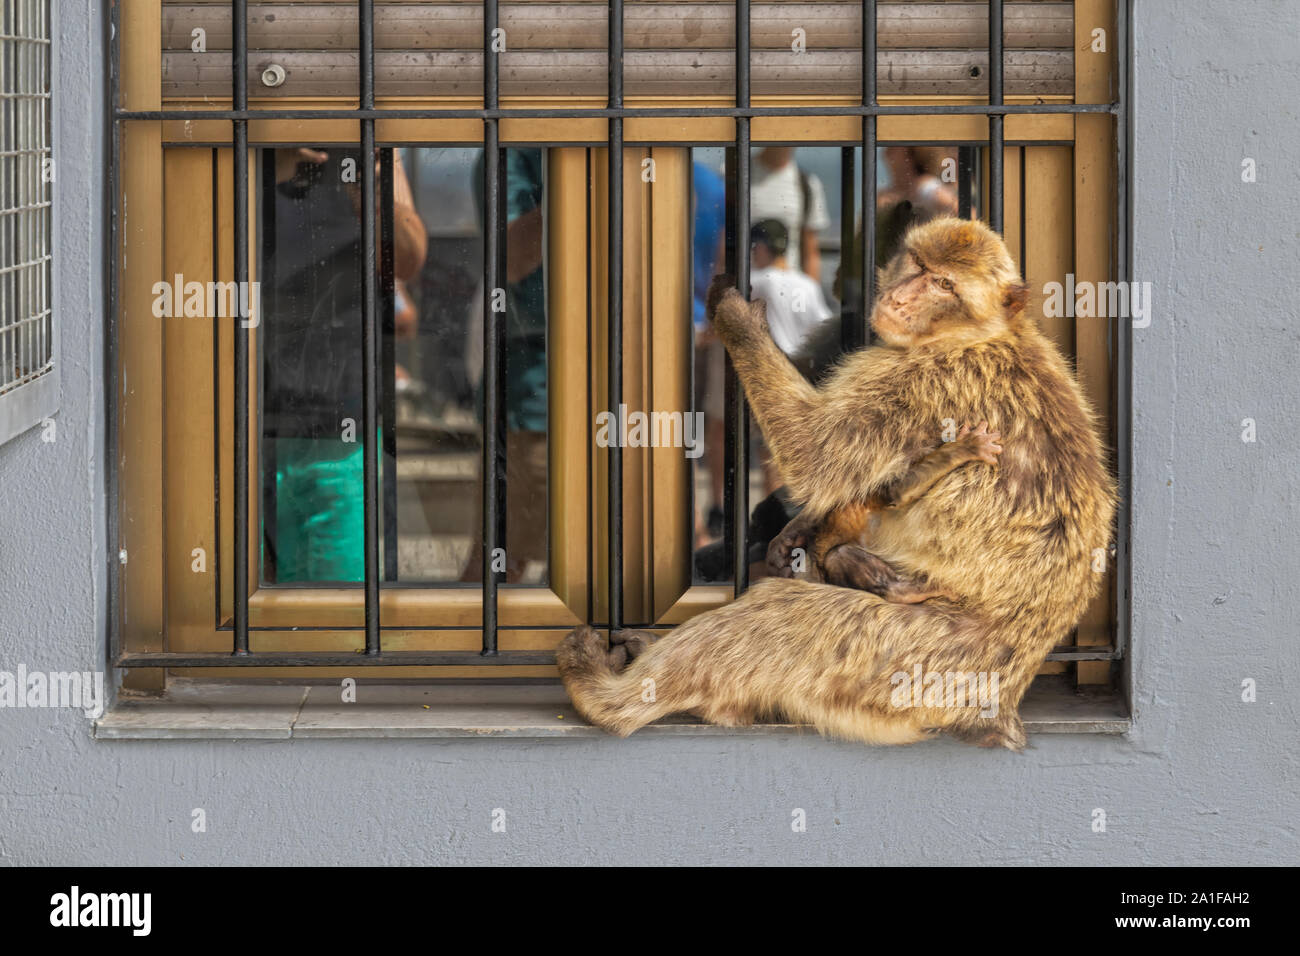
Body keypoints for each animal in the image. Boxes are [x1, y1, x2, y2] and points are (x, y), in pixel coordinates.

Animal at [556, 217, 1116, 751]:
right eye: (917, 264)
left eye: (943, 284)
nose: (900, 298)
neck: (977, 333)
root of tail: (1000, 699)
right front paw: (796, 530)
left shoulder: (917, 379)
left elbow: (816, 455)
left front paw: (738, 318)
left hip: (912, 664)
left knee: (780, 614)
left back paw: (607, 698)